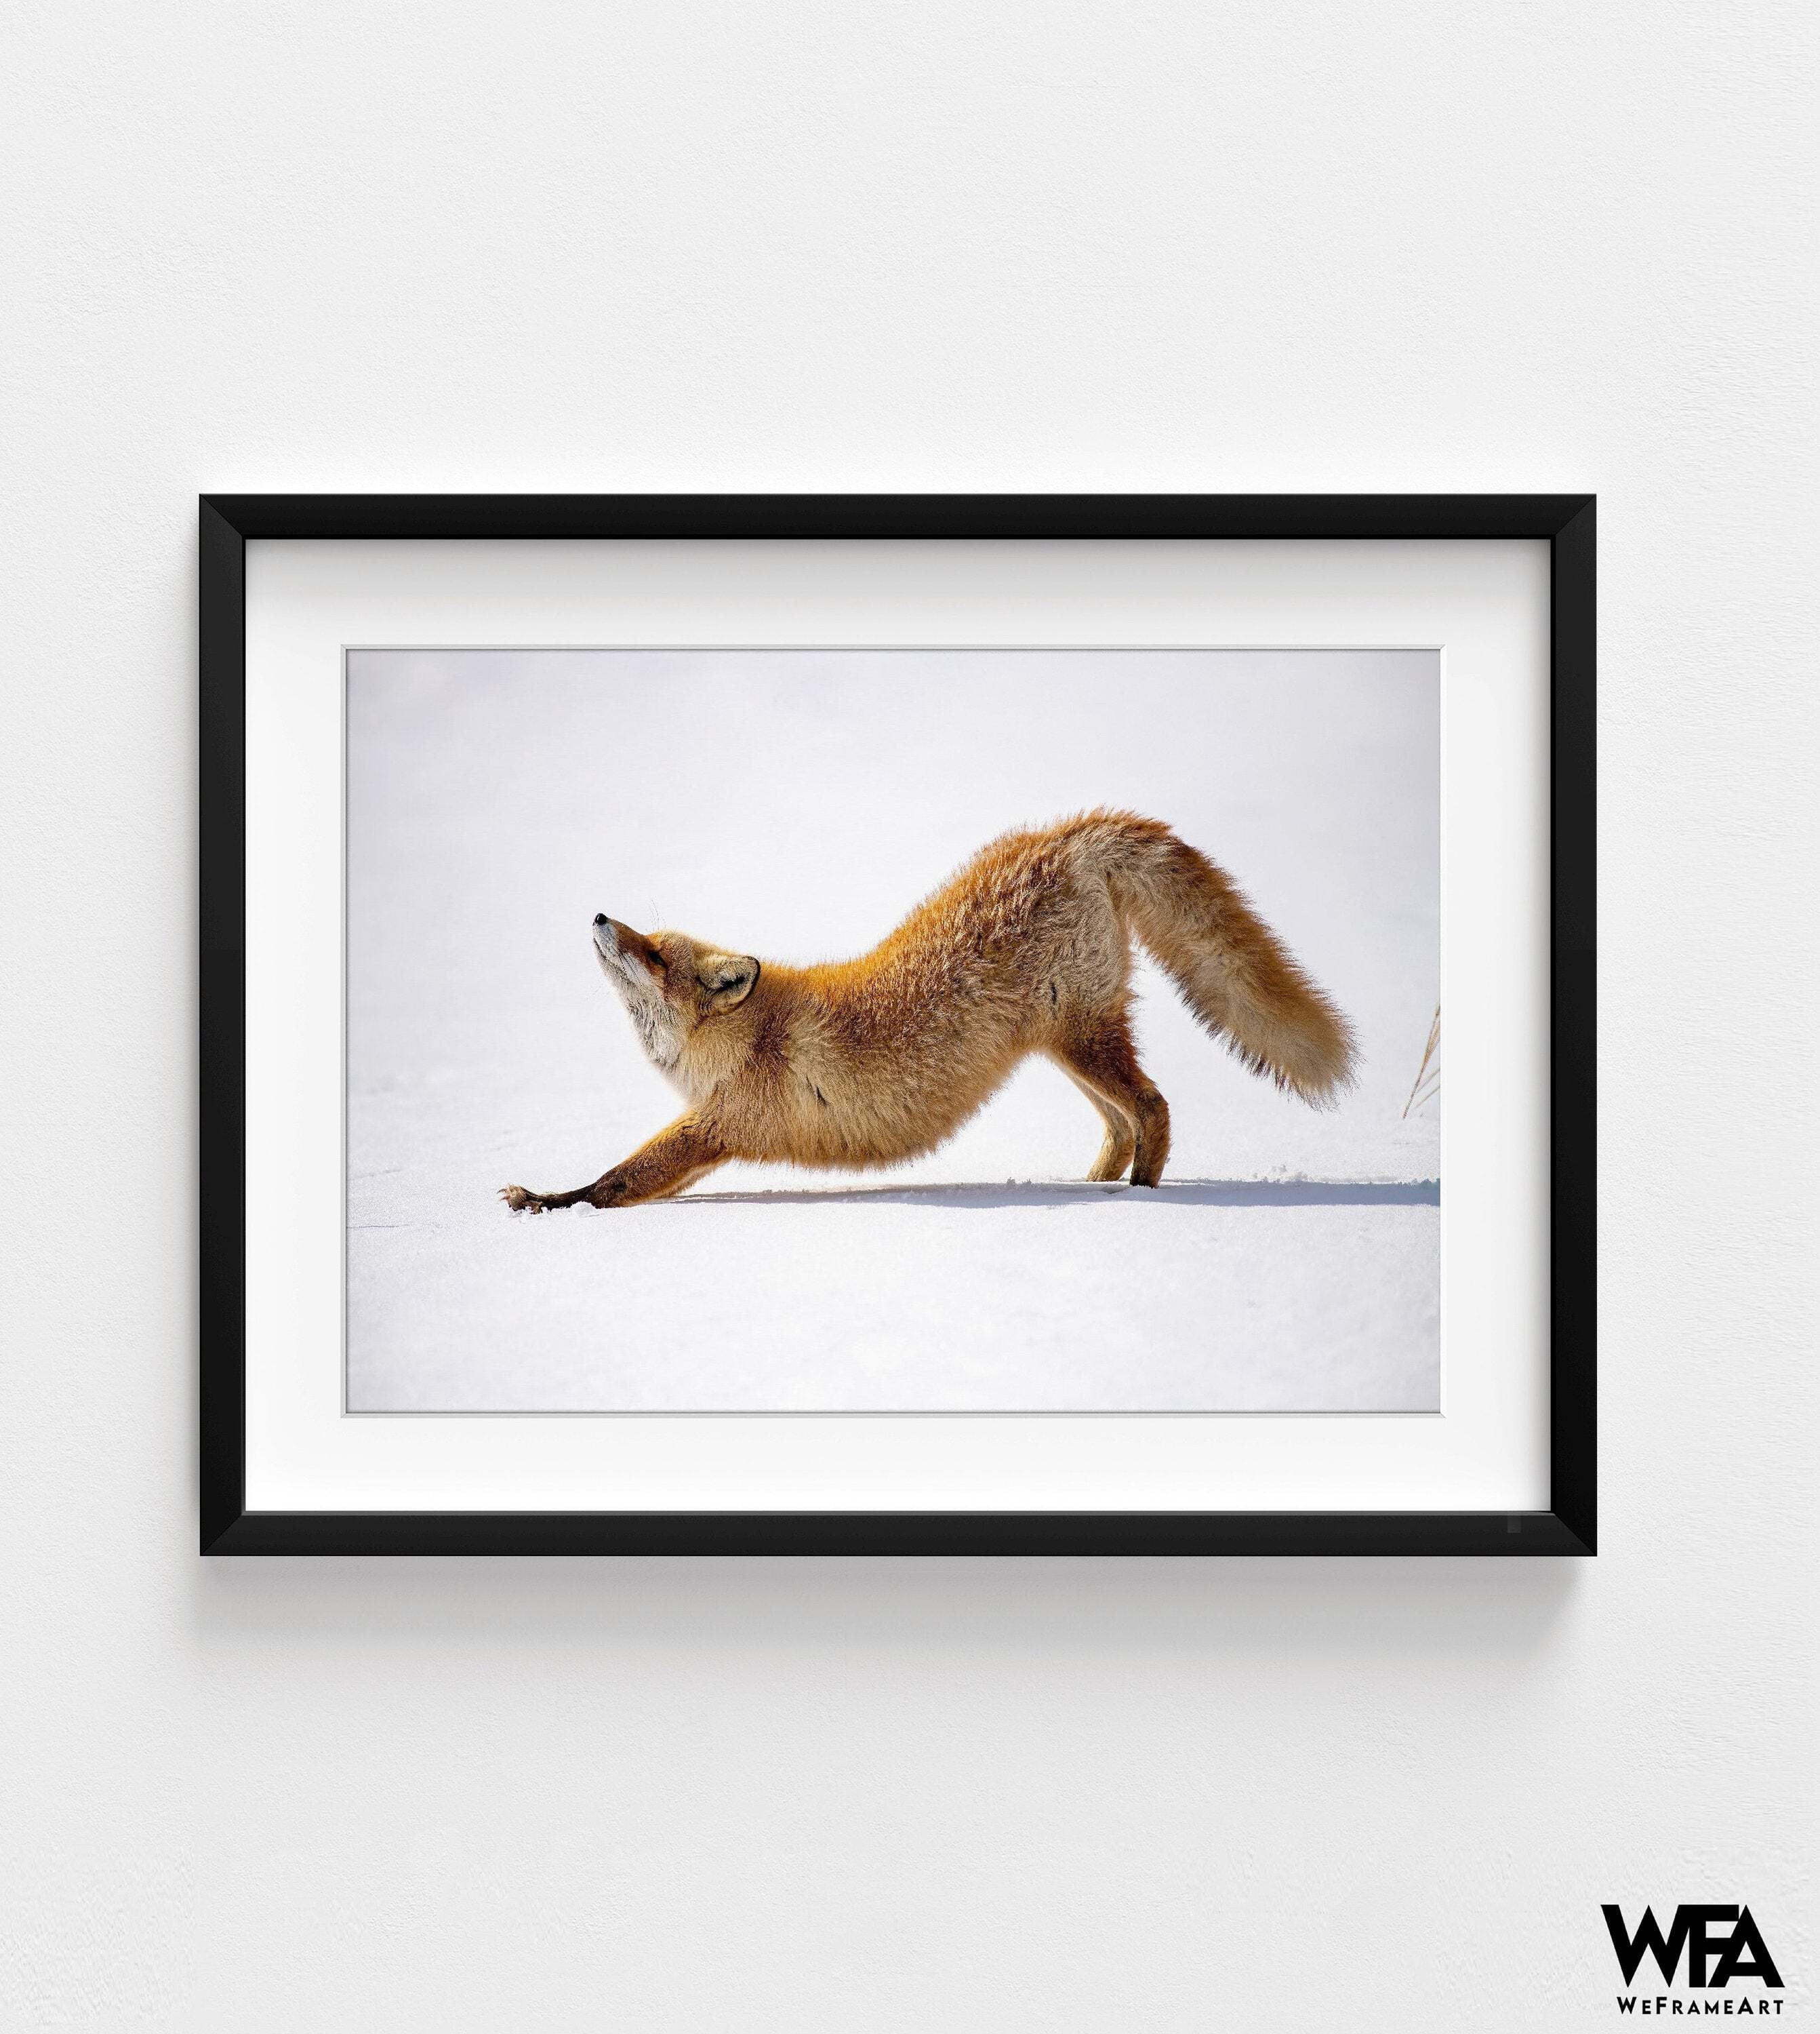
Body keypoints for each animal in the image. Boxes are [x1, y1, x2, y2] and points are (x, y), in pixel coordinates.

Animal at [499, 810, 1355, 1212]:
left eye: (653, 955)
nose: (601, 918)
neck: (749, 1037)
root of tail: (1064, 835)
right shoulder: (718, 1132)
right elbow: (632, 1180)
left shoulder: (719, 1125)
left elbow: (614, 1181)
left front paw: (549, 1203)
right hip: (1063, 1045)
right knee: (1123, 1121)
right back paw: (1095, 1187)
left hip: (1081, 1036)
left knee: (1154, 1107)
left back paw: (1140, 1197)